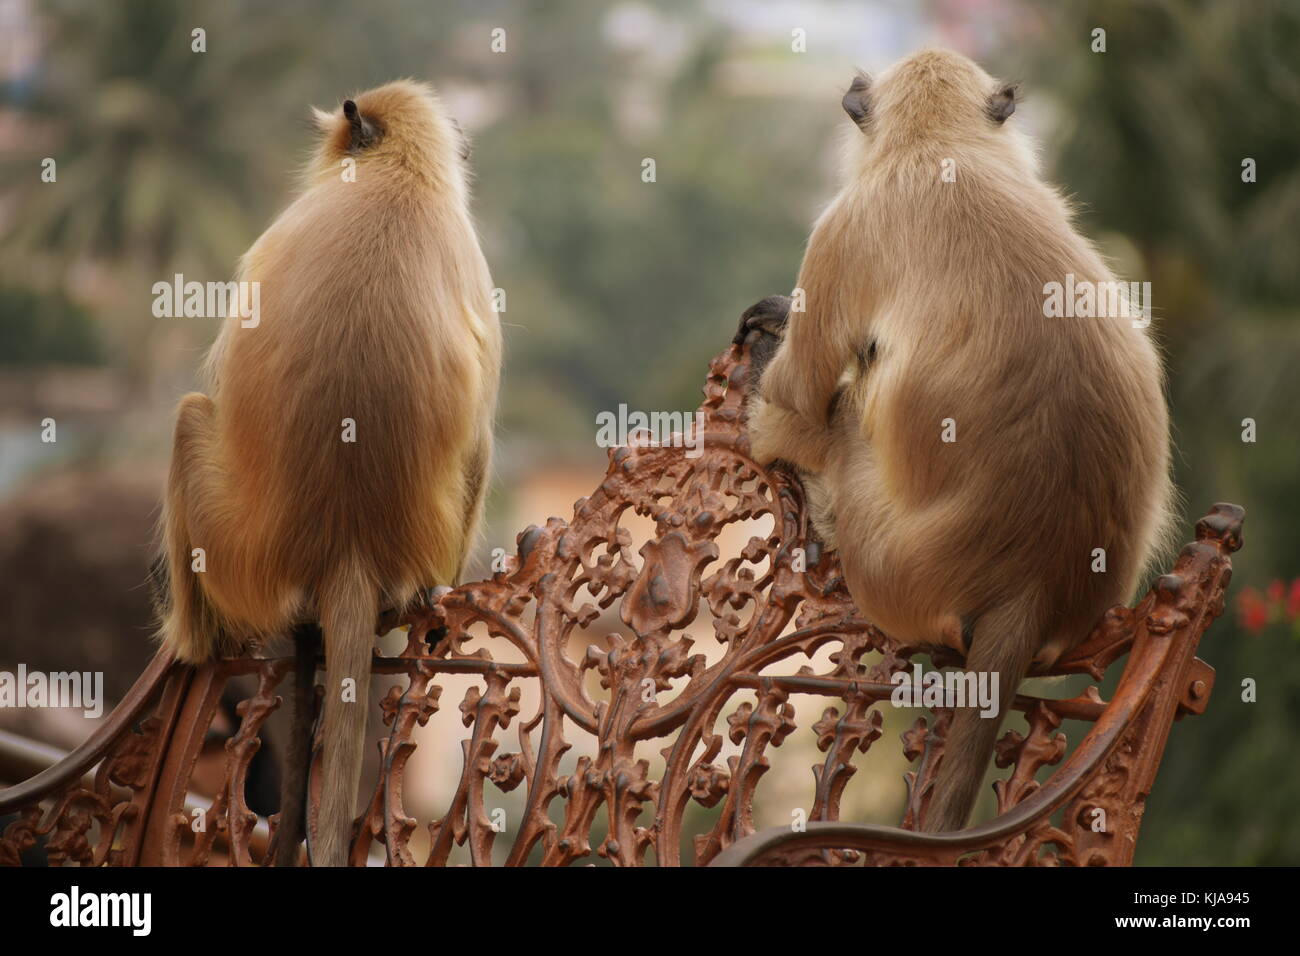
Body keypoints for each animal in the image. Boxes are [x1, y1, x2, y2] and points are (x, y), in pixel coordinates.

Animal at [738, 49, 1173, 833]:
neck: (940, 151)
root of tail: (1033, 584)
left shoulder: (844, 225)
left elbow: (802, 384)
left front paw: (775, 346)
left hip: (886, 564)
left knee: (833, 412)